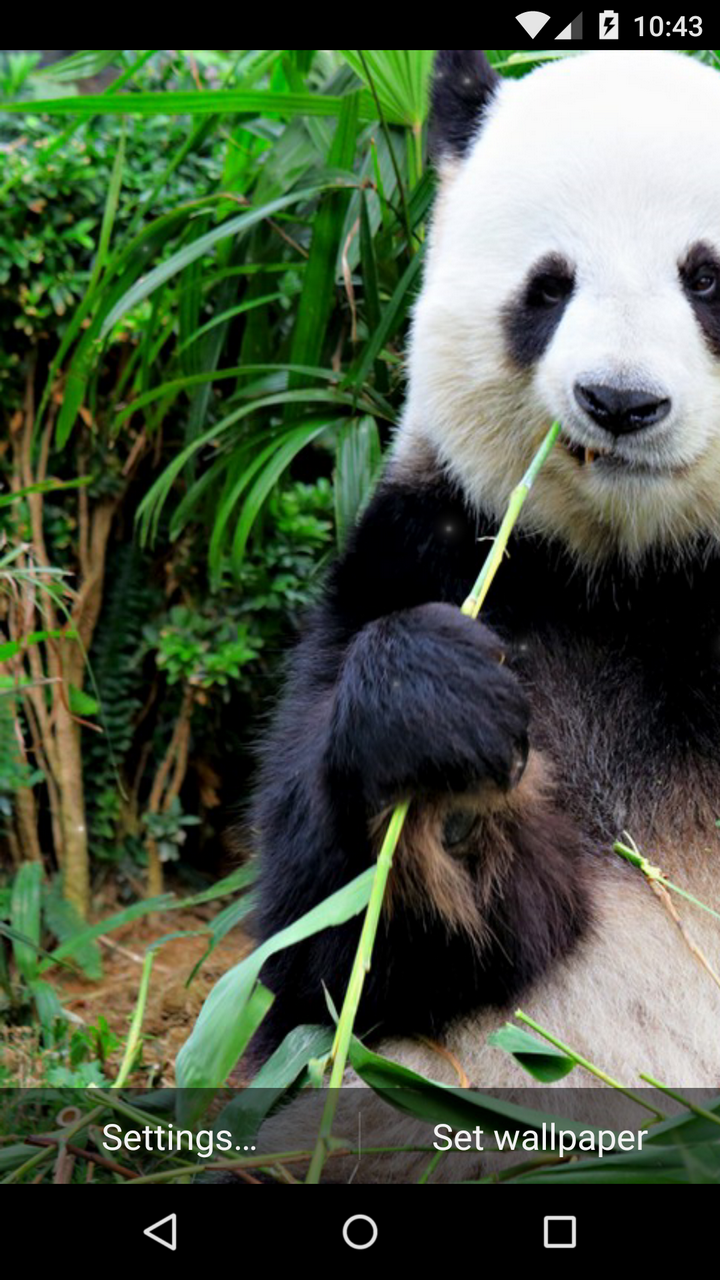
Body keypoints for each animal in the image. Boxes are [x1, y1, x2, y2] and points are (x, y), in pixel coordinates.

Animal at [253, 48, 720, 1107]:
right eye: (549, 287)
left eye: (706, 276)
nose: (620, 402)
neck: (640, 569)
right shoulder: (427, 551)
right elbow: (325, 948)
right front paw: (444, 758)